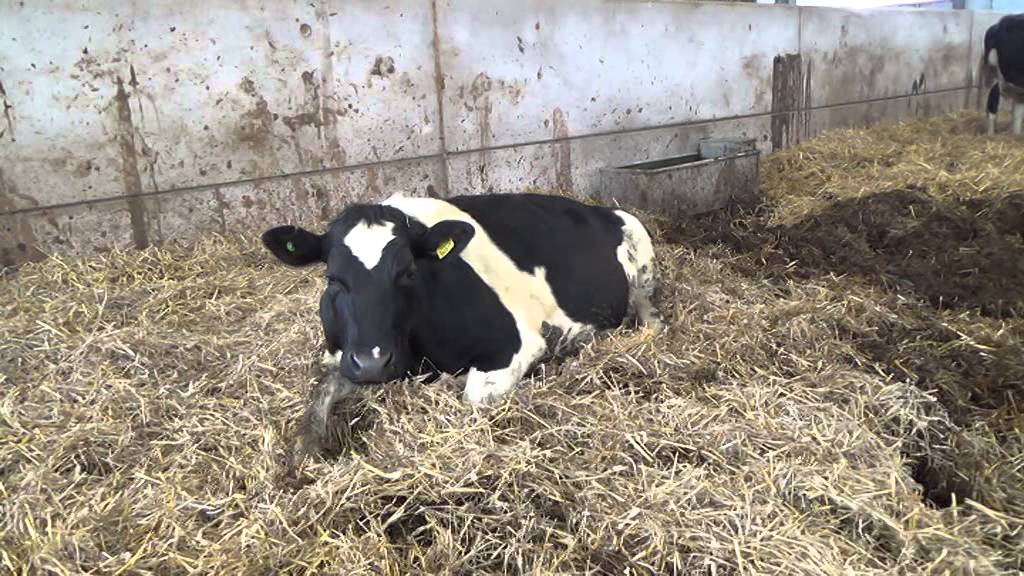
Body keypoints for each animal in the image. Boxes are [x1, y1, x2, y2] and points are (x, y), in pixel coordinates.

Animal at [261, 193, 663, 409]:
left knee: (651, 316)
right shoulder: (335, 355)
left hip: (643, 268)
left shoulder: (517, 345)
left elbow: (473, 394)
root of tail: (600, 209)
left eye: (408, 271)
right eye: (333, 278)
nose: (372, 363)